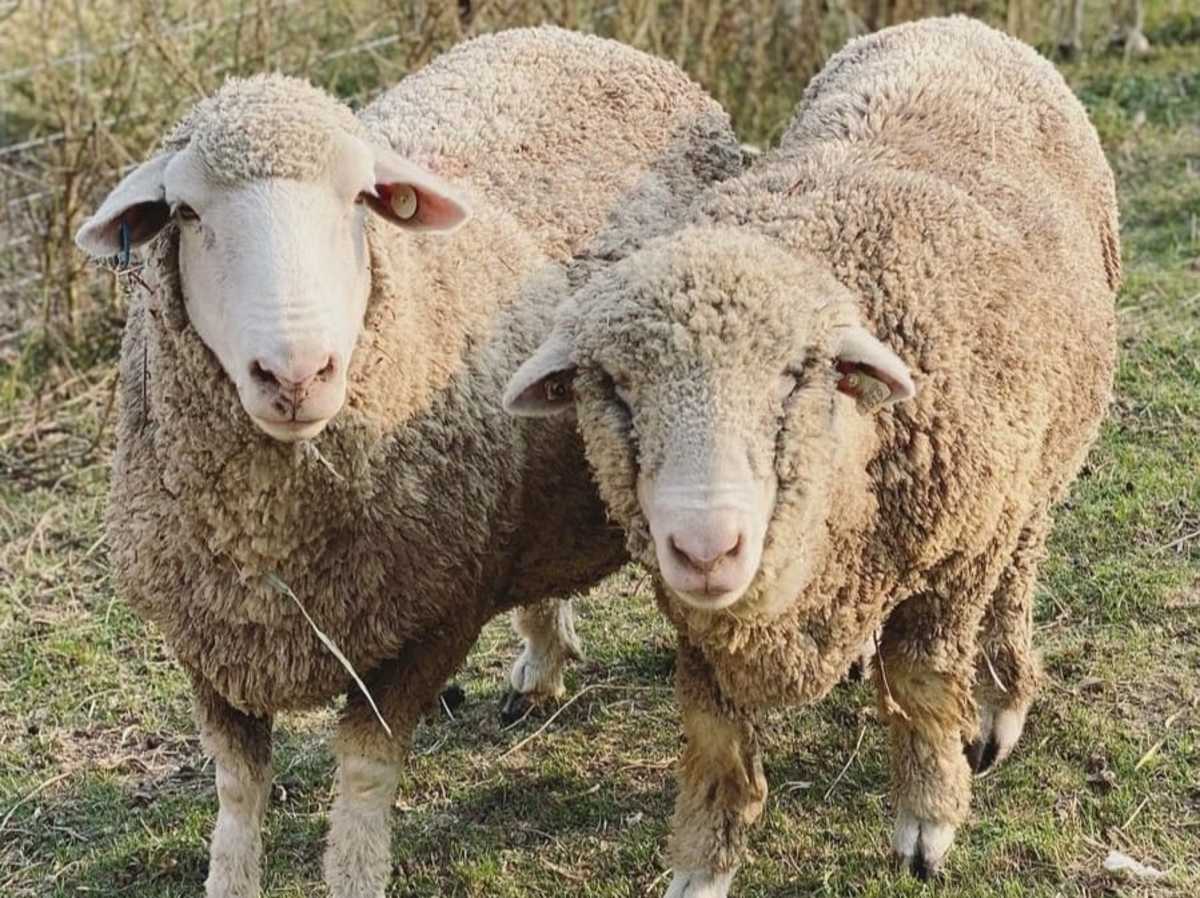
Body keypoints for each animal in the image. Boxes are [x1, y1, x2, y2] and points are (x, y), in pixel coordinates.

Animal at [74, 26, 740, 898]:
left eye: (361, 200)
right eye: (185, 212)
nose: (296, 374)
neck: (272, 537)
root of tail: (588, 38)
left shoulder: (431, 622)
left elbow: (363, 775)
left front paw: (356, 871)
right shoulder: (206, 640)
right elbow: (236, 788)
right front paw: (230, 875)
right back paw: (542, 660)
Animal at [504, 16, 1120, 894]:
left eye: (798, 375)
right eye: (613, 389)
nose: (707, 546)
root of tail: (958, 23)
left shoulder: (955, 557)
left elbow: (924, 683)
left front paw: (927, 819)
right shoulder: (693, 615)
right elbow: (714, 731)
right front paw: (704, 859)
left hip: (1029, 480)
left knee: (1018, 571)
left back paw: (1001, 702)